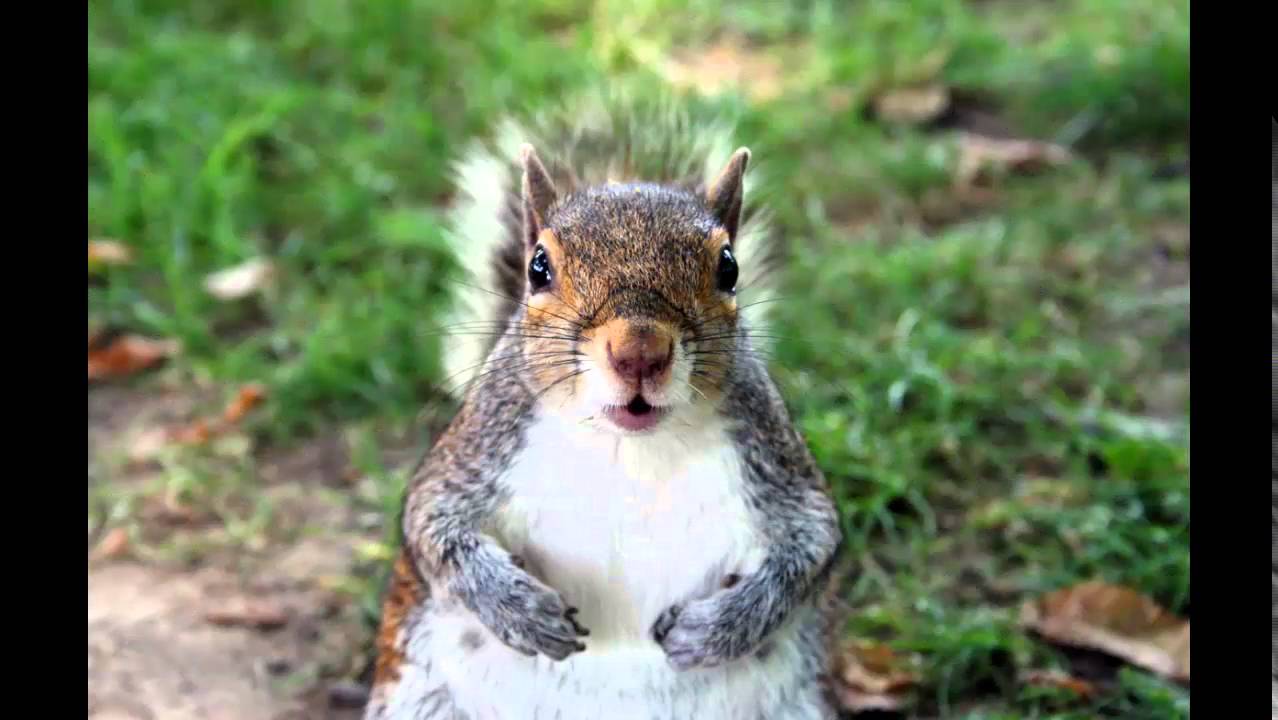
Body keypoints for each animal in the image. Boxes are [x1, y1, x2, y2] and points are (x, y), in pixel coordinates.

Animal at [363, 93, 844, 720]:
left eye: (729, 266)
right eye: (538, 266)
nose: (639, 351)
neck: (627, 448)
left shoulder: (773, 460)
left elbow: (811, 546)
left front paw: (717, 629)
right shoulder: (479, 446)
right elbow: (433, 525)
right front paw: (519, 610)